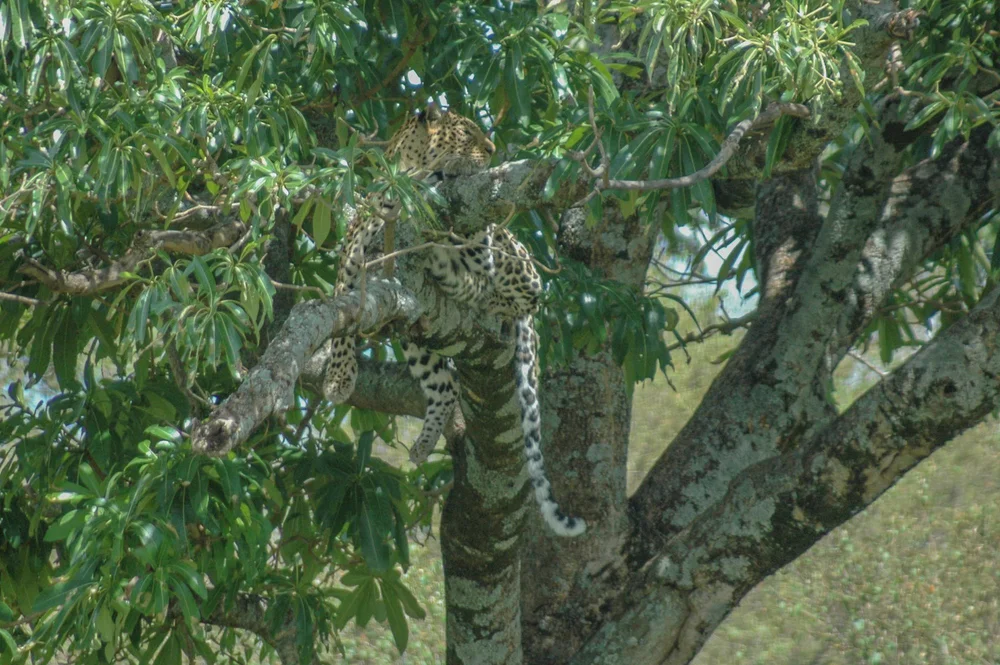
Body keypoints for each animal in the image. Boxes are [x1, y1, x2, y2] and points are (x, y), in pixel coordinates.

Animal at [321, 104, 585, 537]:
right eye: (467, 133)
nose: (492, 151)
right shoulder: (351, 265)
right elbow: (342, 322)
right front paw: (339, 378)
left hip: (509, 257)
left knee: (522, 290)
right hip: (418, 335)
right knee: (444, 386)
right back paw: (424, 443)